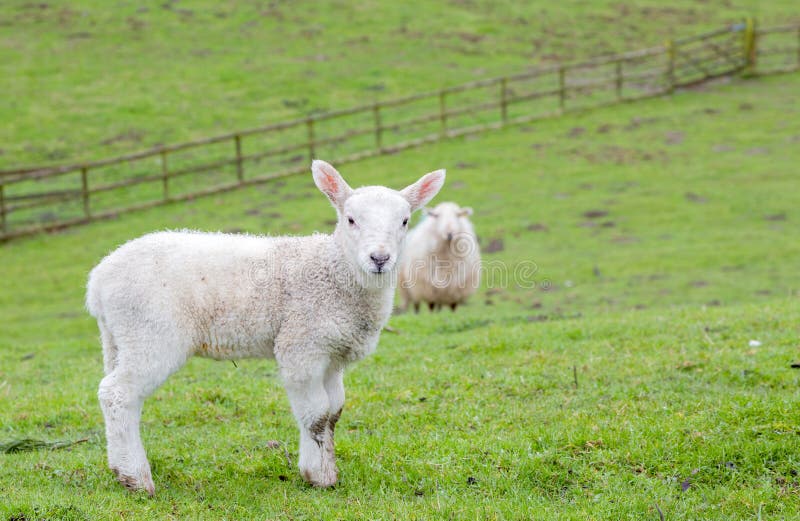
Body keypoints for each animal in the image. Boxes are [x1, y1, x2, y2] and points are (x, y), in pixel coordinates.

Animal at [85, 160, 445, 495]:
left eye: (405, 221)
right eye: (351, 220)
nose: (379, 258)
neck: (334, 270)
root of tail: (99, 280)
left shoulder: (333, 354)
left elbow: (334, 413)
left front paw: (329, 472)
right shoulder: (301, 345)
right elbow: (316, 415)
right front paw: (316, 476)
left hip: (119, 338)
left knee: (117, 396)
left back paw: (119, 468)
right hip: (151, 333)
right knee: (118, 394)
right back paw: (136, 478)